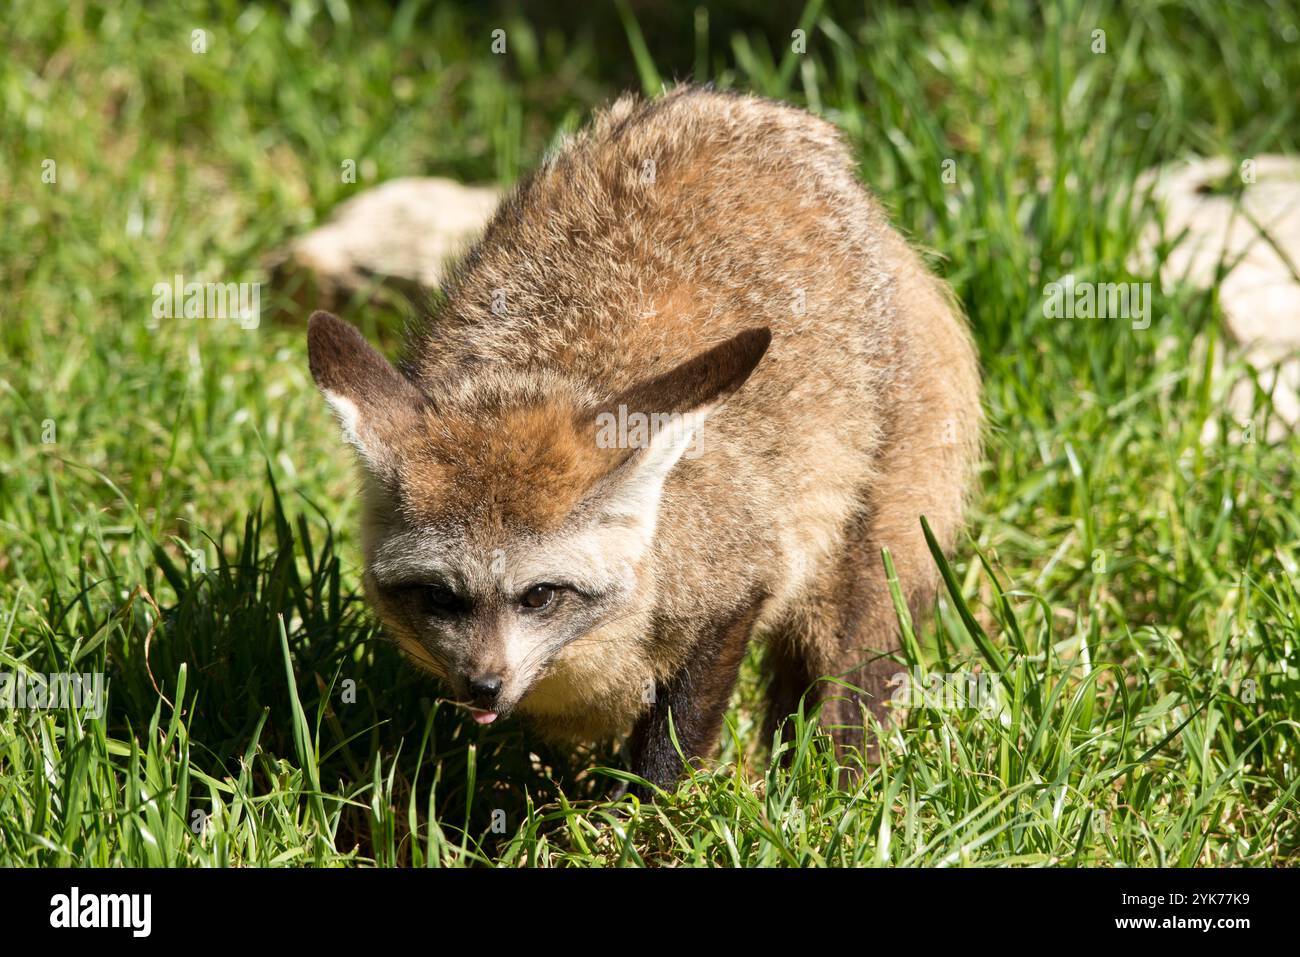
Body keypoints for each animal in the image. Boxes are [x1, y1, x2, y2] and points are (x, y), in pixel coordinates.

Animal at [306, 86, 981, 793]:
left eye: (539, 595)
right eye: (440, 596)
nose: (484, 687)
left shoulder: (735, 586)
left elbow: (669, 748)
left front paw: (646, 812)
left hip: (861, 579)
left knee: (849, 693)